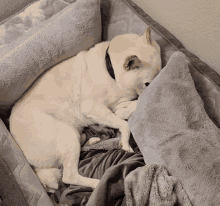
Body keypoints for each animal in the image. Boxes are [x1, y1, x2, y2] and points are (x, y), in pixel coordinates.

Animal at [9, 27, 162, 192]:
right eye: (147, 84)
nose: (154, 91)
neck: (110, 70)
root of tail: (32, 165)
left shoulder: (116, 103)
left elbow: (129, 107)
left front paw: (127, 109)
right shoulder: (94, 108)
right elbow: (125, 124)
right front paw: (126, 142)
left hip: (73, 135)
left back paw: (90, 140)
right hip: (67, 135)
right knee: (69, 176)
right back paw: (96, 183)